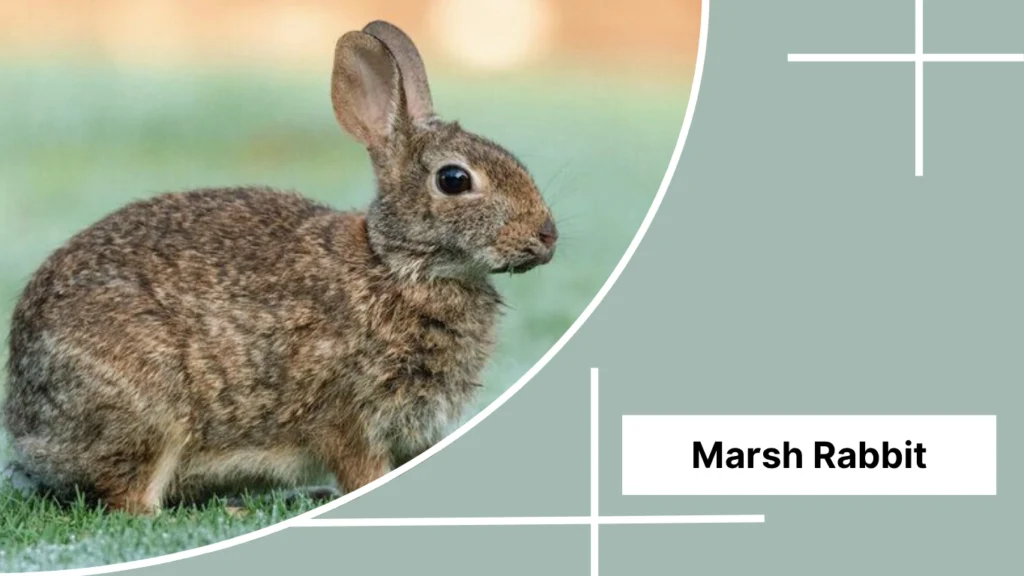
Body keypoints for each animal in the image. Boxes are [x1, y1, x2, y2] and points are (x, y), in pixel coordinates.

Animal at [1, 20, 558, 514]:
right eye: (454, 180)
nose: (547, 236)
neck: (396, 264)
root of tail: (28, 430)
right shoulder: (348, 416)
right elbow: (361, 470)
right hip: (147, 411)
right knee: (130, 500)